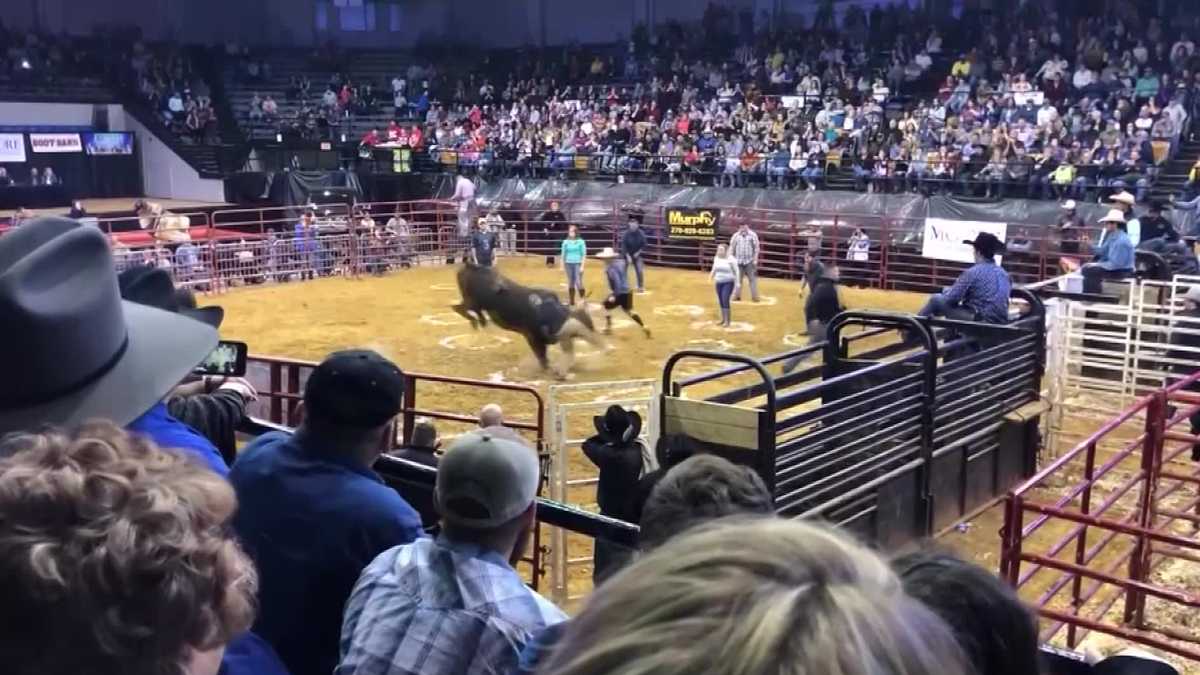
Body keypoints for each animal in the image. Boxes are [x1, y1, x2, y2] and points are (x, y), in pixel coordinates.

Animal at [453, 263, 605, 376]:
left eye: (590, 323)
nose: (600, 343)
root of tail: (470, 265)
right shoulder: (532, 338)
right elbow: (541, 356)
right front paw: (548, 369)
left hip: (472, 302)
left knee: (460, 308)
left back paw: (479, 322)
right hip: (472, 301)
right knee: (462, 309)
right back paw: (478, 321)